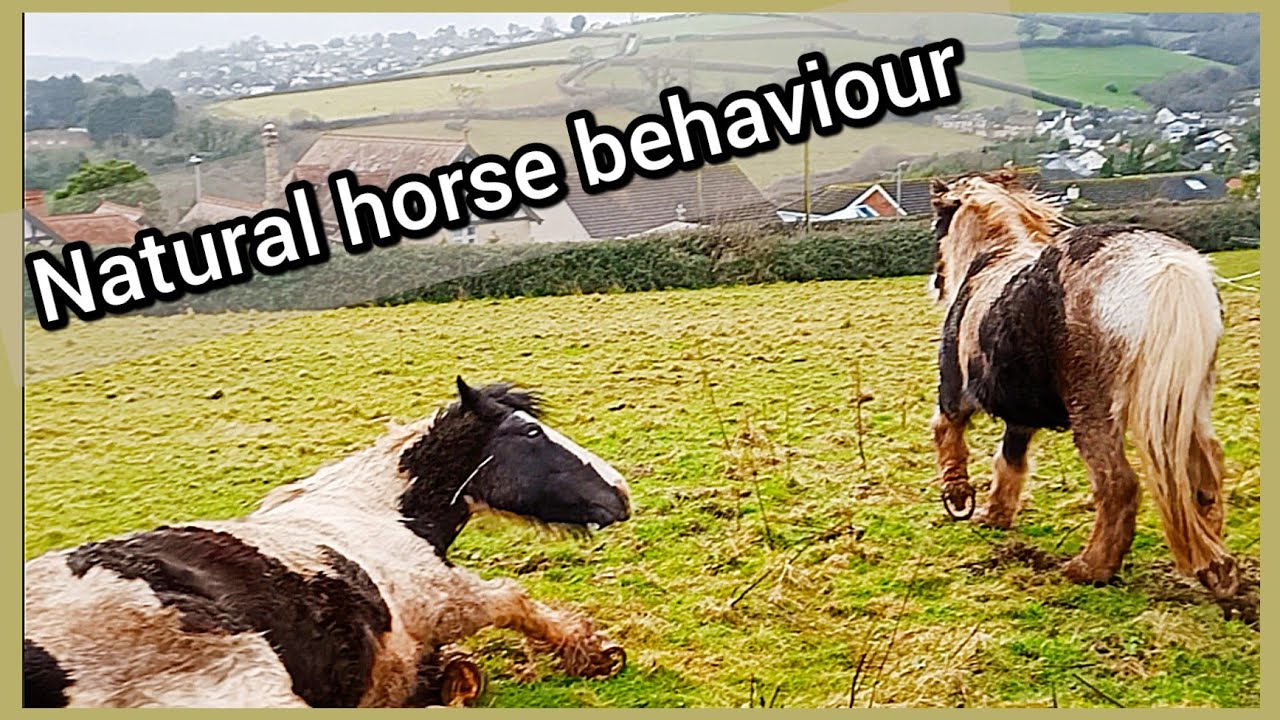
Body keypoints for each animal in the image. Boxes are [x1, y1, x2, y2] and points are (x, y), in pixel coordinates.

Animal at [24, 377, 631, 708]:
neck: (370, 511)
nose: (622, 493)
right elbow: (514, 598)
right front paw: (592, 652)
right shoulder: (445, 598)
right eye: (530, 432)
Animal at [926, 167, 1238, 600]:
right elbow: (1009, 463)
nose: (935, 283)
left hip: (1092, 411)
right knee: (1206, 470)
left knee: (1119, 485)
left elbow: (949, 438)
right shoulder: (1019, 418)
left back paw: (1090, 568)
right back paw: (1216, 566)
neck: (991, 260)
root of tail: (1166, 268)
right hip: (1187, 401)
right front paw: (995, 516)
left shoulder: (954, 397)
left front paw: (958, 497)